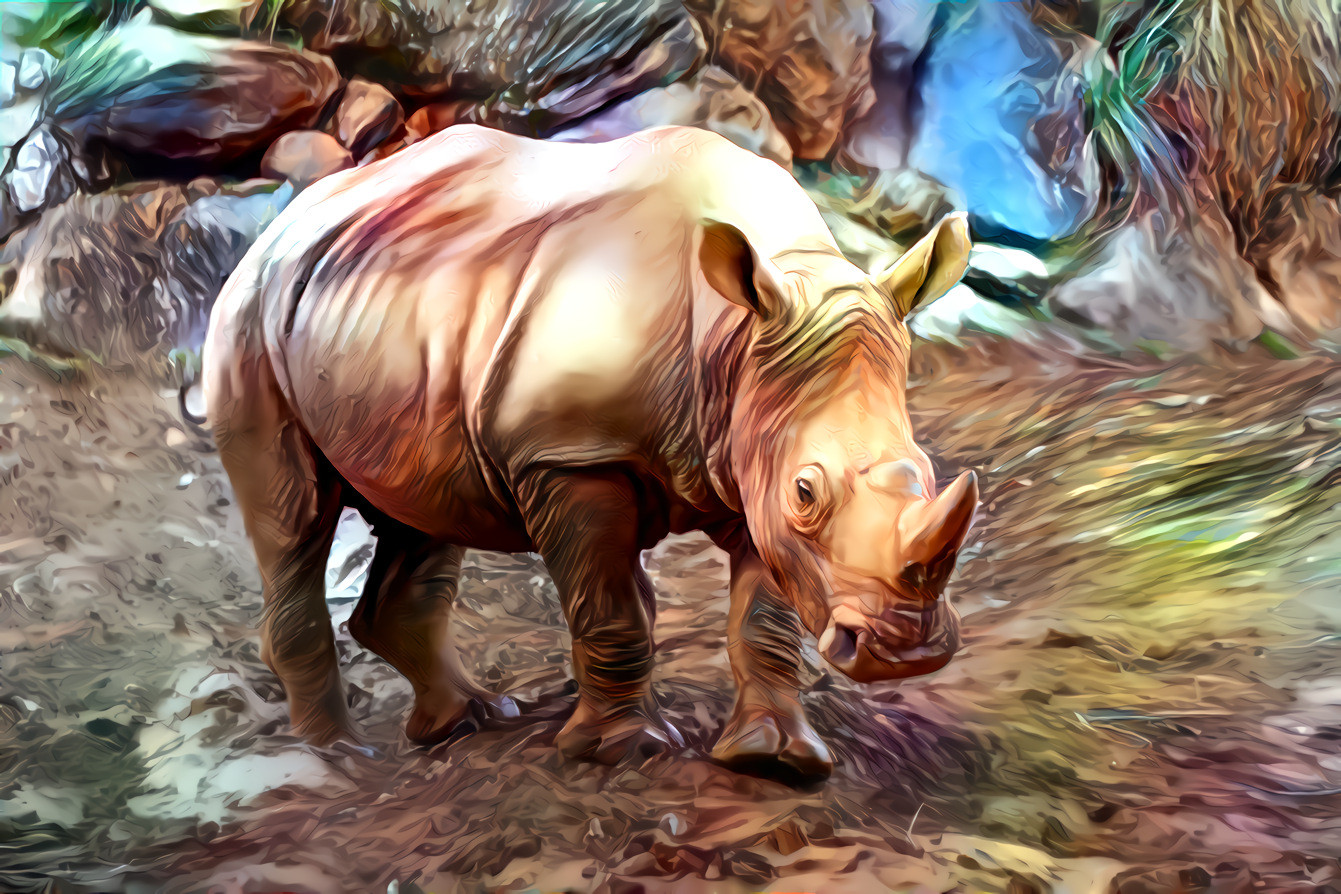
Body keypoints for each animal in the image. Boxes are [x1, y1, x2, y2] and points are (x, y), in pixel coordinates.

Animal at [203, 124, 979, 782]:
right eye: (806, 492)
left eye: (928, 473)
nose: (904, 654)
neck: (735, 338)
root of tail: (284, 224)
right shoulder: (570, 455)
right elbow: (611, 608)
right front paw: (622, 751)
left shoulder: (749, 456)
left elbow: (764, 618)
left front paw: (776, 759)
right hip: (247, 314)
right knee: (294, 517)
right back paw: (339, 759)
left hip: (394, 323)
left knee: (422, 514)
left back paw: (468, 723)